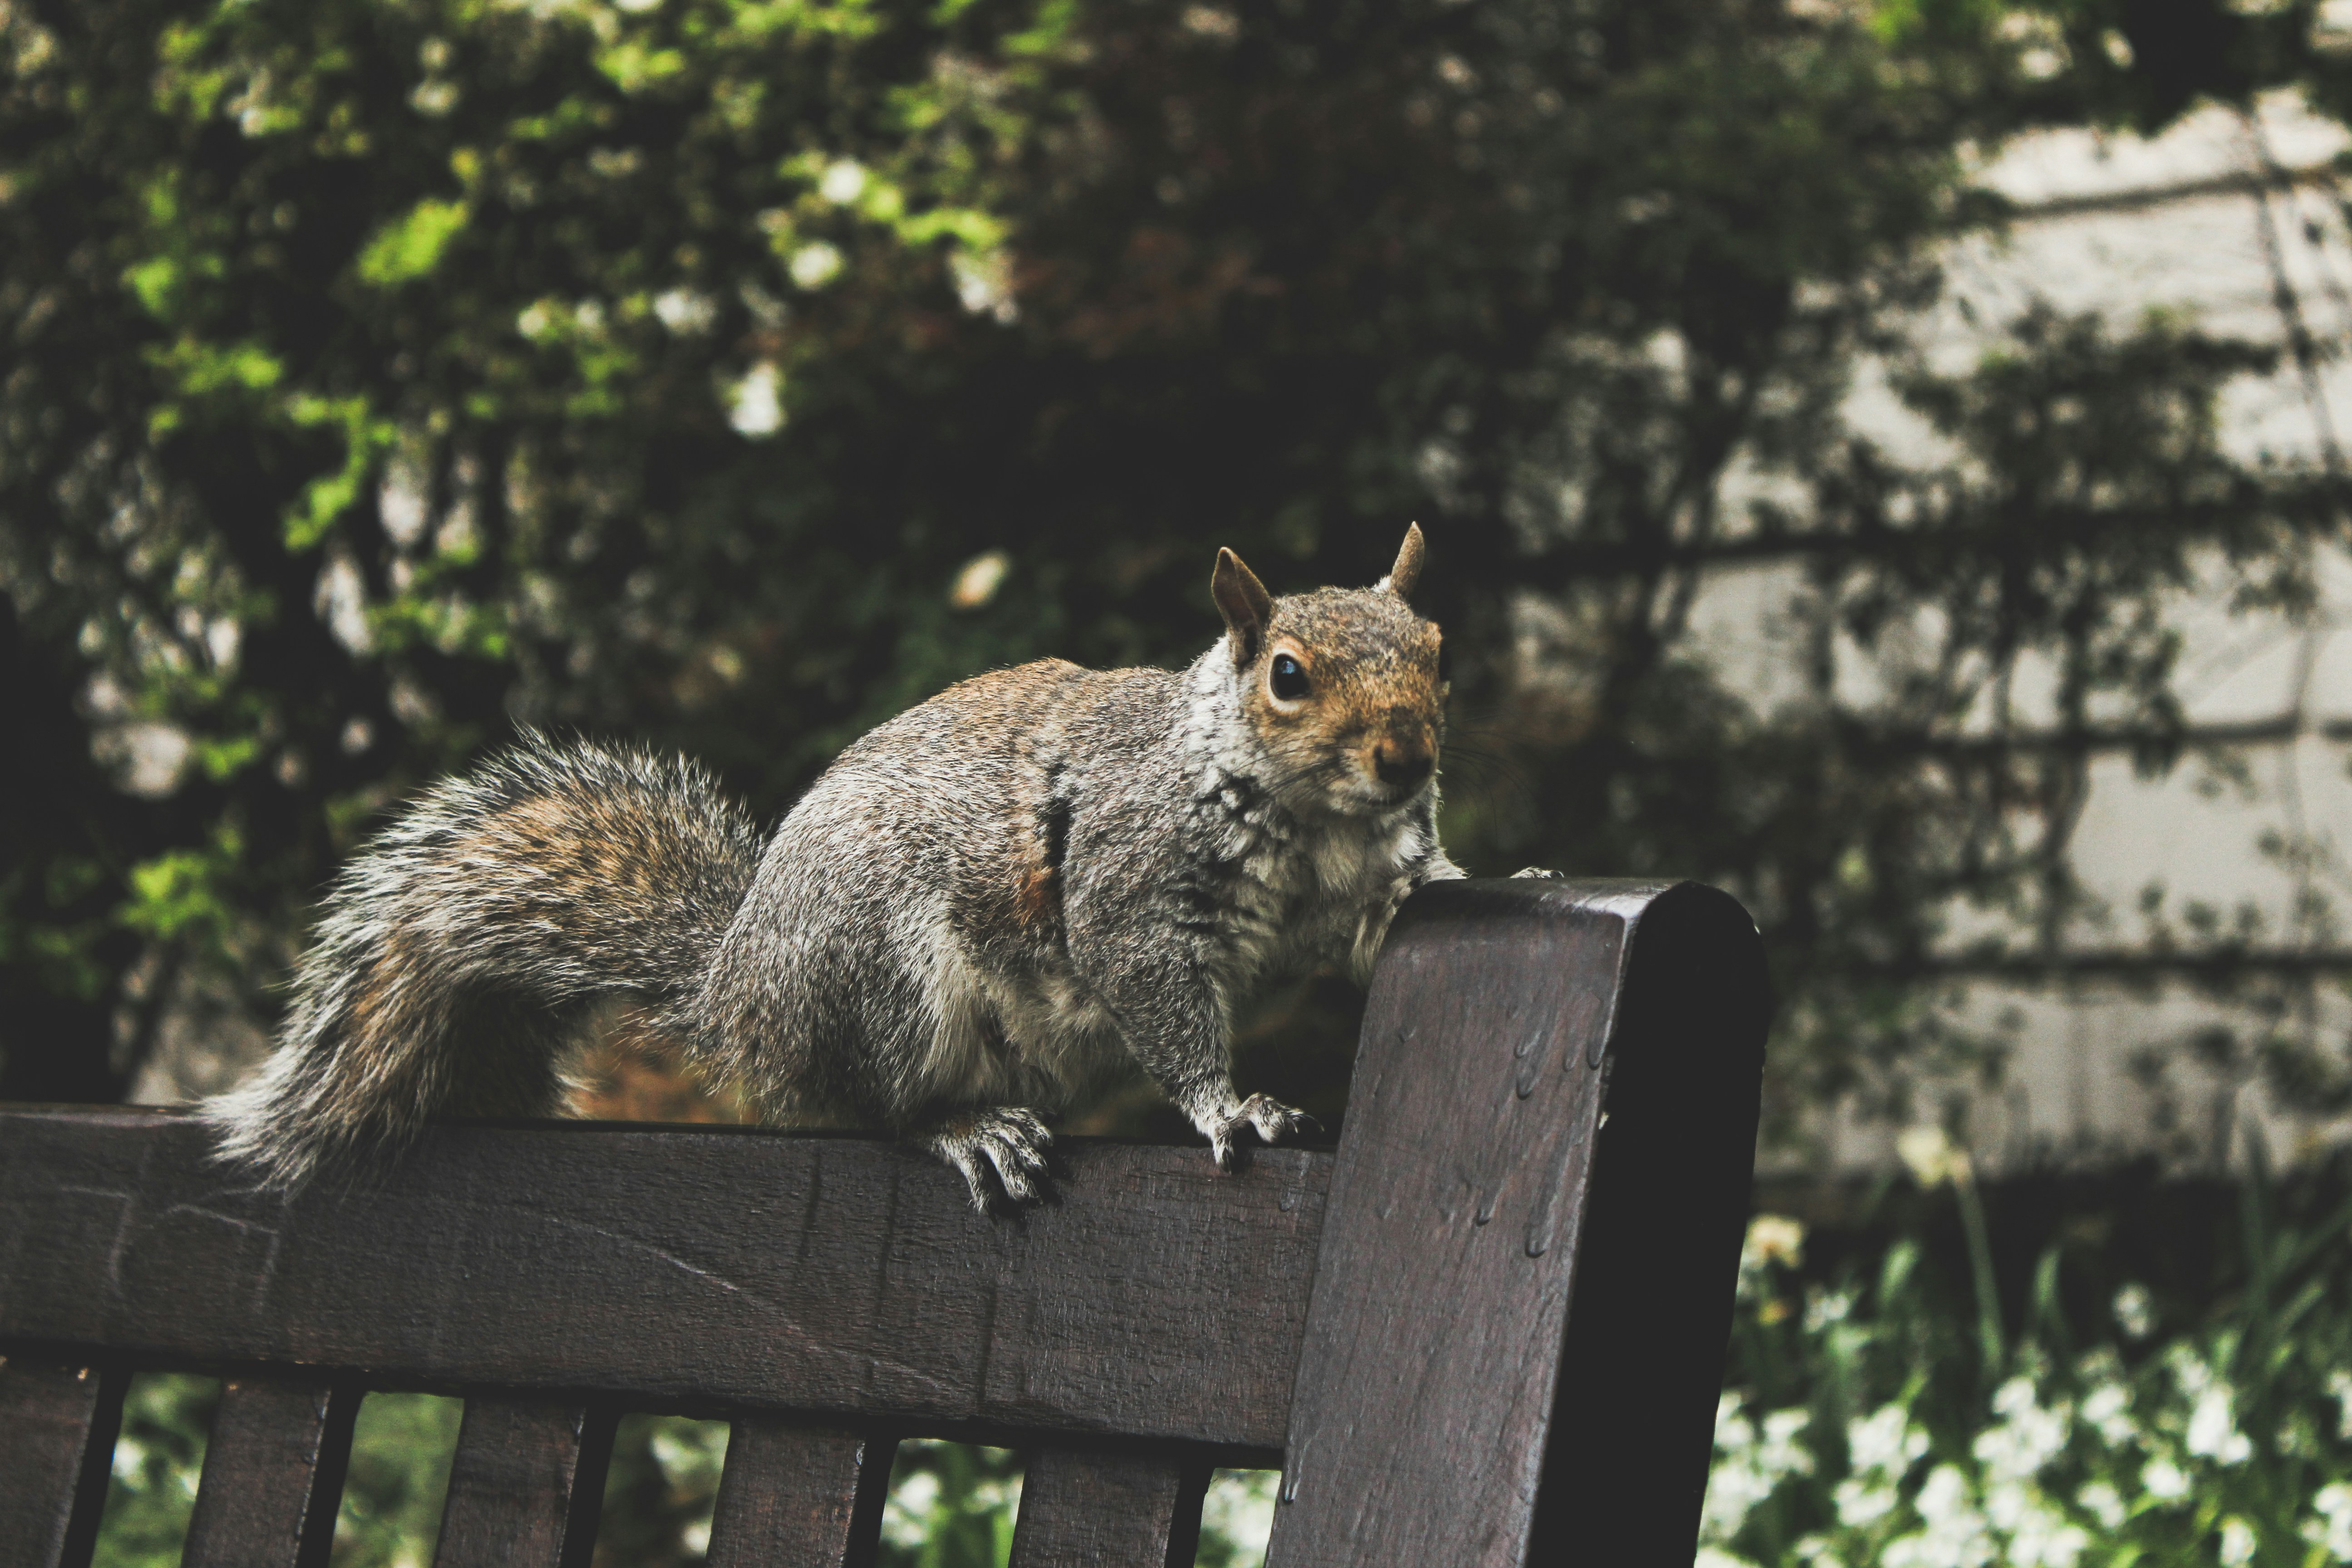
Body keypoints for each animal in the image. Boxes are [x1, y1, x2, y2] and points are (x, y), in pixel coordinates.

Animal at [207, 526, 1464, 1210]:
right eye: (1288, 676)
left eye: (1439, 653)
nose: (1407, 754)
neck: (1315, 821)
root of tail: (736, 995)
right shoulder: (1130, 885)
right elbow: (1159, 1000)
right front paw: (1228, 1106)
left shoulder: (1354, 887)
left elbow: (1391, 911)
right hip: (884, 976)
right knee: (869, 1107)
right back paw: (966, 1128)